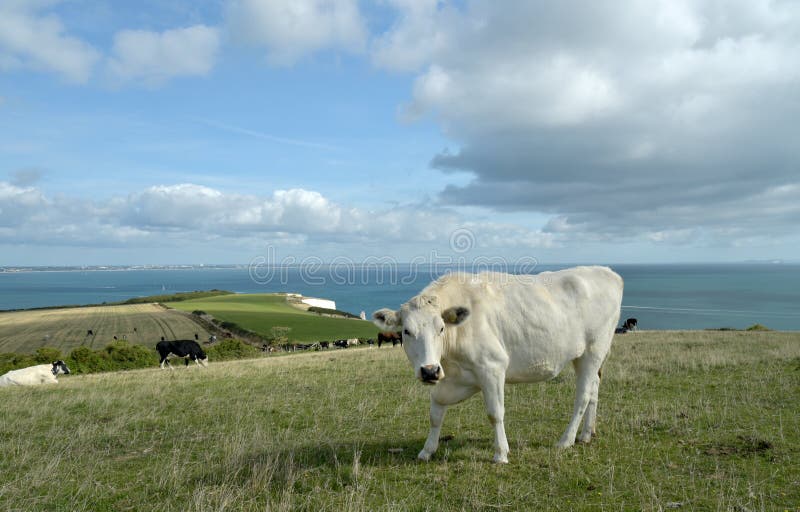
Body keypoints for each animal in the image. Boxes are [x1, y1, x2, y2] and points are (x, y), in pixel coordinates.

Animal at [372, 266, 623, 463]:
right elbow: (435, 413)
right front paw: (427, 450)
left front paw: (501, 453)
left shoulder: (491, 367)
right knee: (594, 388)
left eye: (441, 328)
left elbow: (495, 413)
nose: (429, 371)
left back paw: (566, 440)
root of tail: (608, 272)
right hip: (585, 356)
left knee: (583, 395)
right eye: (406, 331)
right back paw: (586, 434)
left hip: (593, 349)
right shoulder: (451, 379)